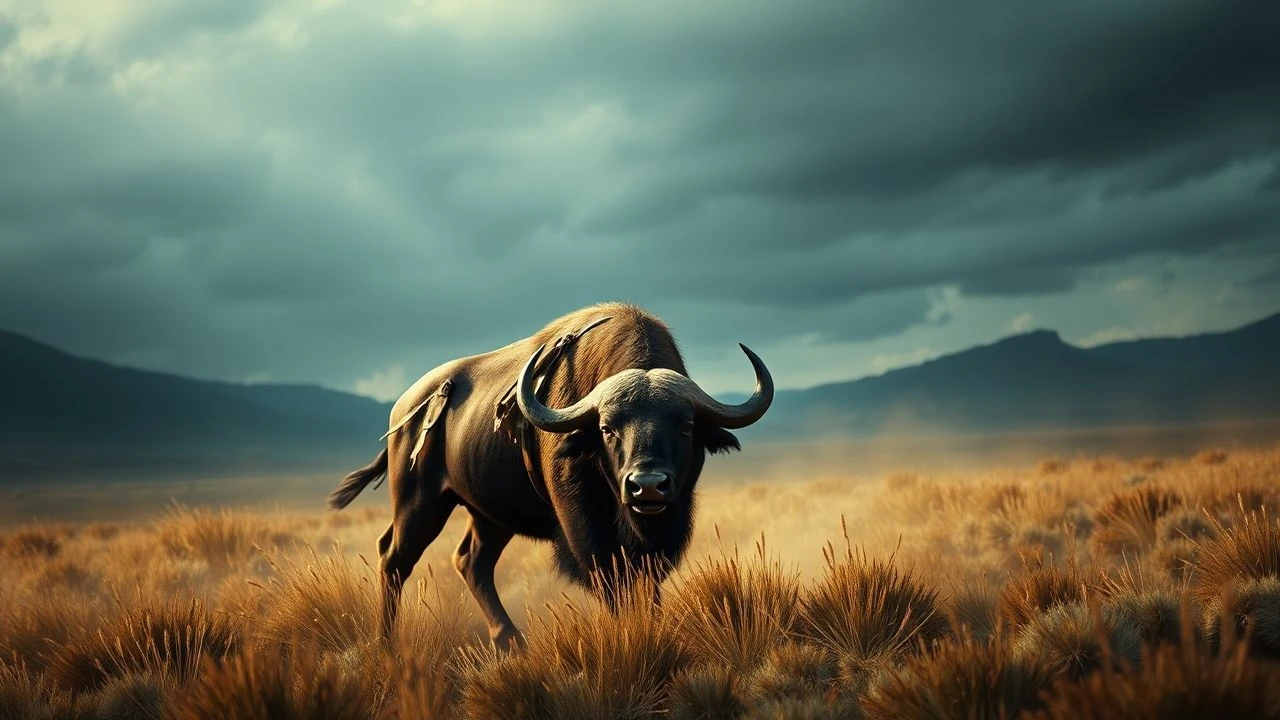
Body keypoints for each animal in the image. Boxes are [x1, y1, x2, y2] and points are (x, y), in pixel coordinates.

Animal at [328, 302, 773, 647]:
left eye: (685, 425)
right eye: (607, 428)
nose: (647, 487)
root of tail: (403, 409)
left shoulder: (667, 525)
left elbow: (648, 585)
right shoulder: (584, 528)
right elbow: (611, 581)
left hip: (489, 517)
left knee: (471, 561)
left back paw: (510, 641)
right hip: (420, 503)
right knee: (394, 560)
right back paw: (387, 644)